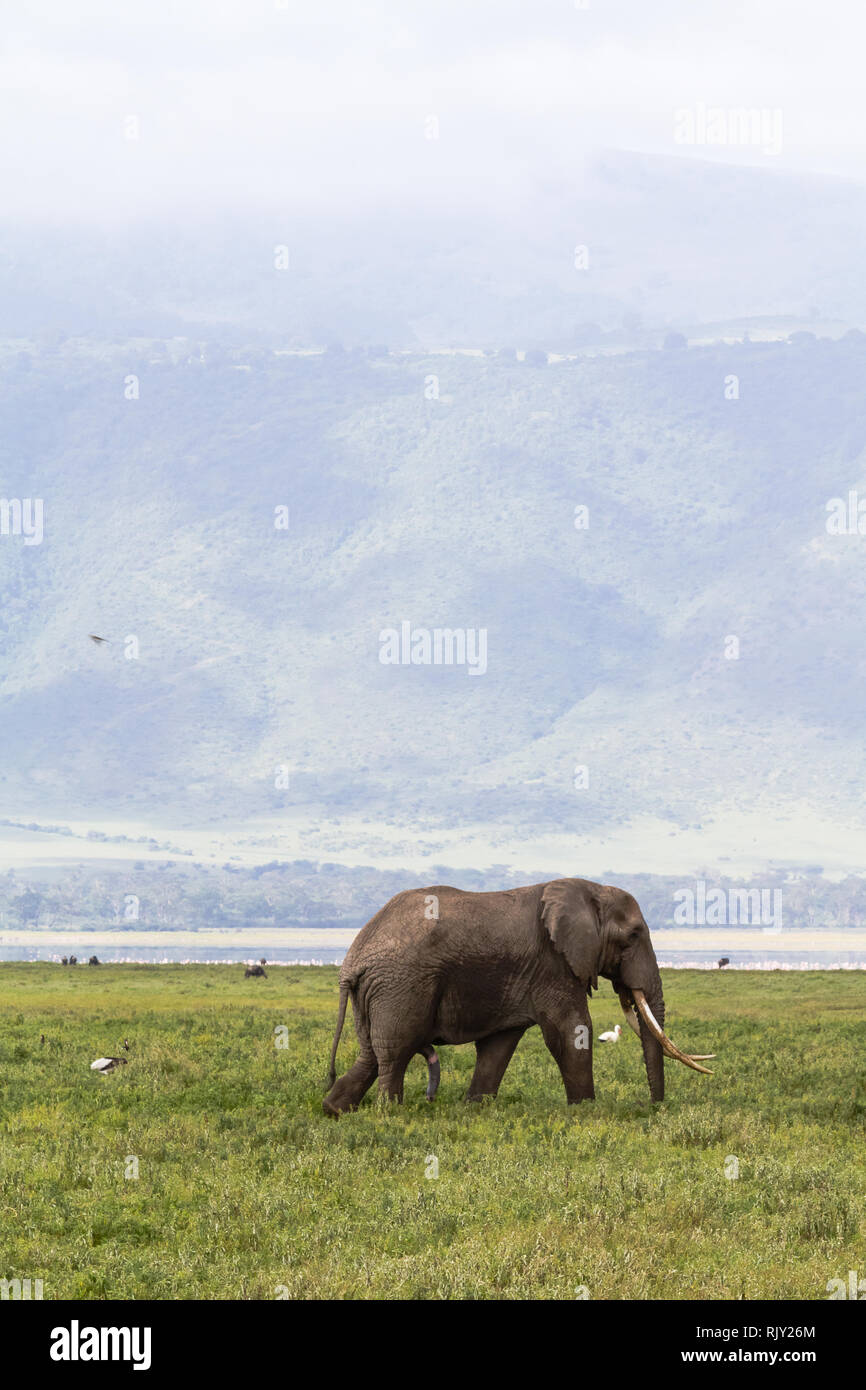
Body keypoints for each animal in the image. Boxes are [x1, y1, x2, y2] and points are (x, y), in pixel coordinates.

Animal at [323, 878, 714, 1115]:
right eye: (633, 935)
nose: (652, 1108)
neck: (588, 889)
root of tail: (354, 958)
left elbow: (499, 1046)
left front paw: (475, 1110)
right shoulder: (553, 962)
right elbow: (572, 1031)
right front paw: (586, 1112)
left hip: (377, 992)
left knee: (372, 1054)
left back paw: (335, 1110)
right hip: (400, 986)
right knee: (394, 1054)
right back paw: (391, 1114)